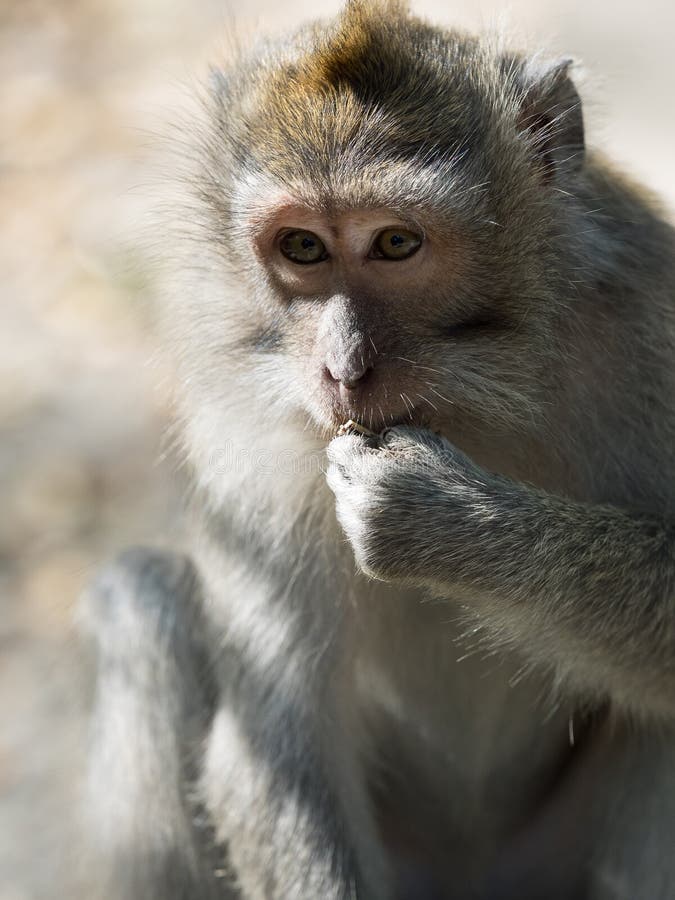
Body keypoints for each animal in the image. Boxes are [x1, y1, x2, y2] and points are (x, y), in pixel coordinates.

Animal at [80, 1, 675, 898]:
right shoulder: (245, 430)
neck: (473, 395)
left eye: (395, 244)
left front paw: (446, 518)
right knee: (141, 598)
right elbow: (279, 746)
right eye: (302, 248)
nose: (342, 367)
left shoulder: (647, 325)